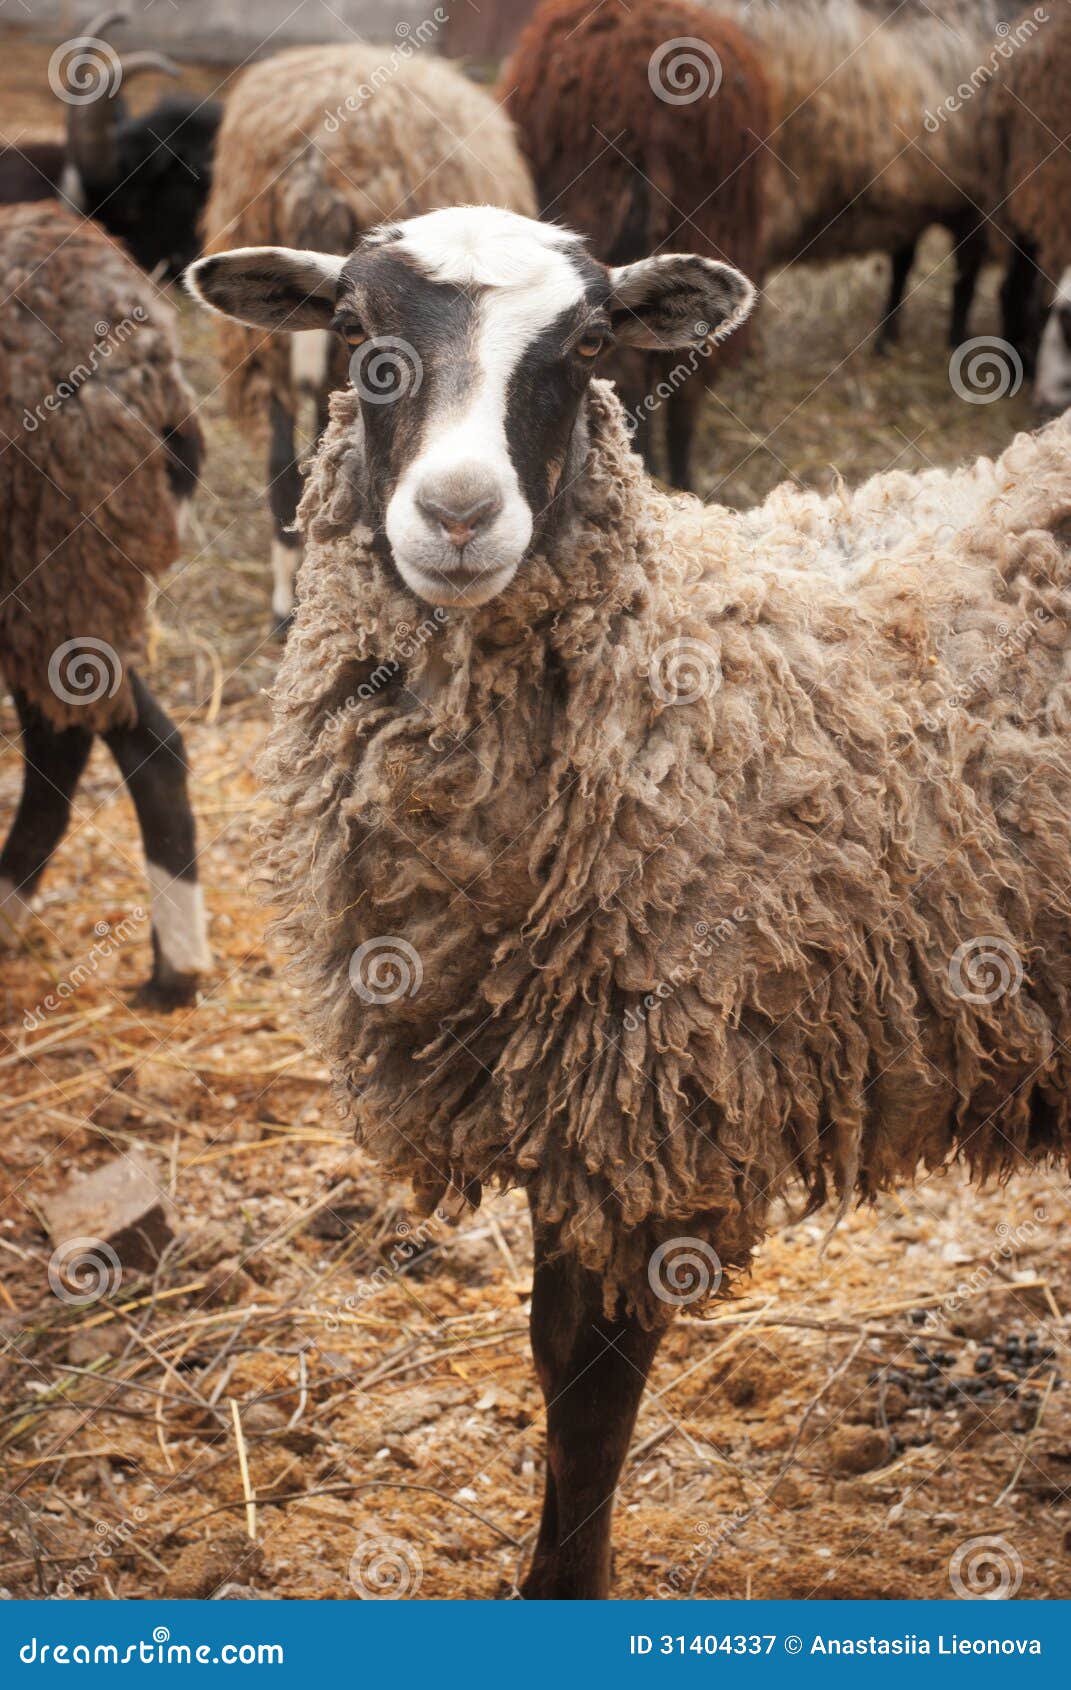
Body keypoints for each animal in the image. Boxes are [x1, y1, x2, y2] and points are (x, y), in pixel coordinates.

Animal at [189, 205, 1071, 1597]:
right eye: (354, 328)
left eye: (592, 341)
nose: (457, 512)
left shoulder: (646, 1099)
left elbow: (588, 1383)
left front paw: (564, 1589)